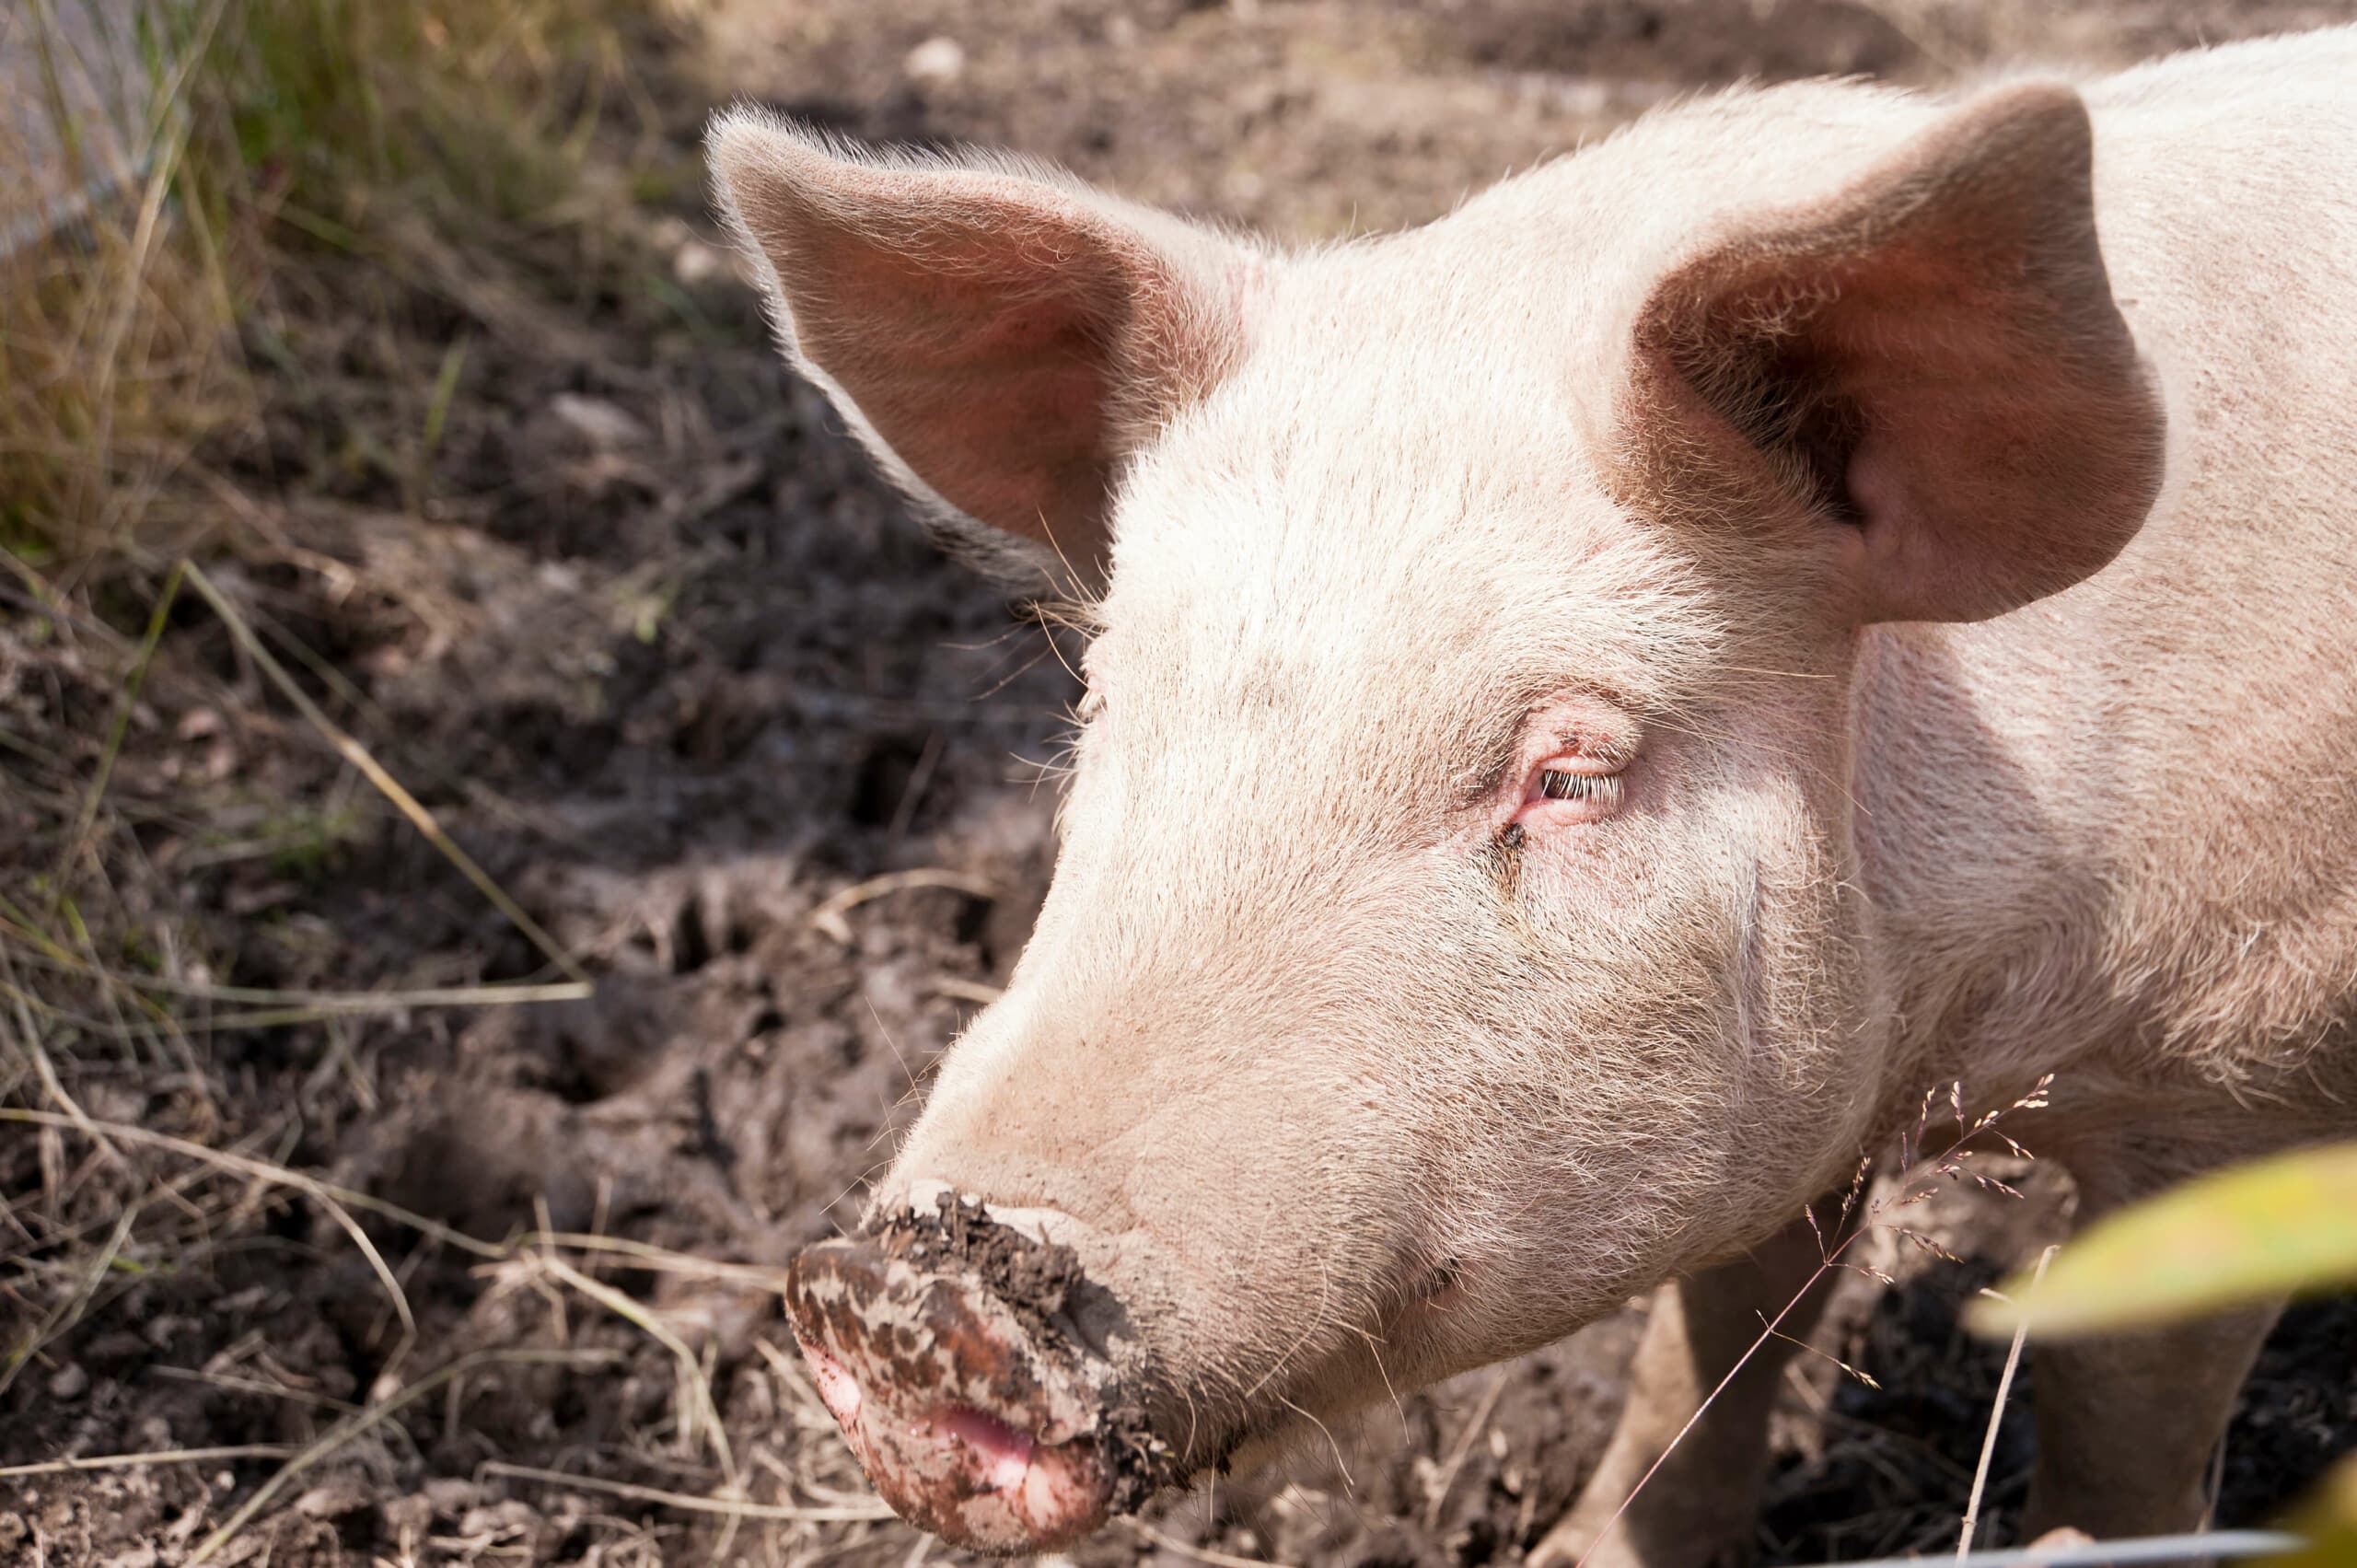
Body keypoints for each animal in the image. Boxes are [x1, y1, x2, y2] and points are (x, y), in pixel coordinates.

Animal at [710, 26, 2357, 1562]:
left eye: (1570, 773)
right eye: (1105, 696)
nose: (898, 1288)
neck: (1952, 1045)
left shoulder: (2235, 1091)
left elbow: (2117, 1426)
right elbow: (1722, 1322)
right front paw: (1596, 1541)